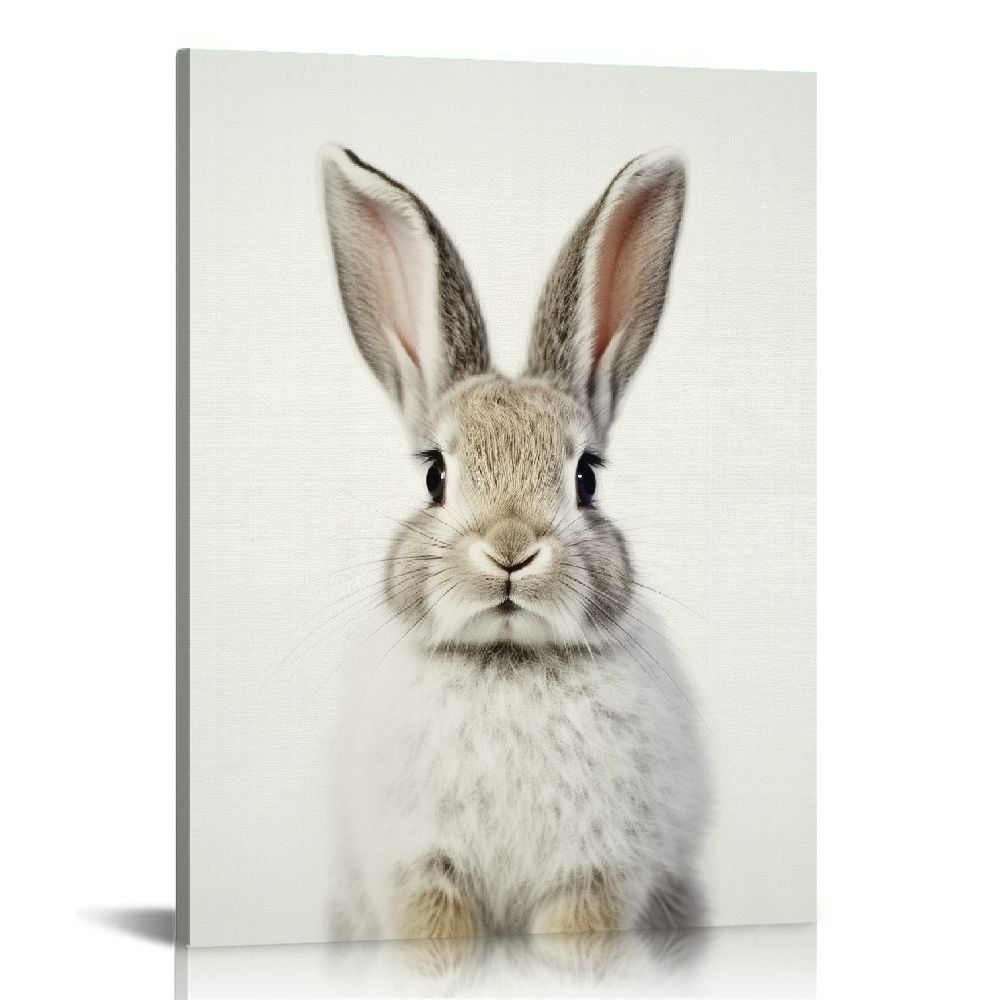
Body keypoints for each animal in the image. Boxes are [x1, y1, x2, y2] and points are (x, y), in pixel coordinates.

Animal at [319, 145, 709, 942]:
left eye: (586, 477)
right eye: (435, 475)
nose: (510, 550)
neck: (507, 657)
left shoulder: (595, 875)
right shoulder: (423, 872)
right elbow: (436, 940)